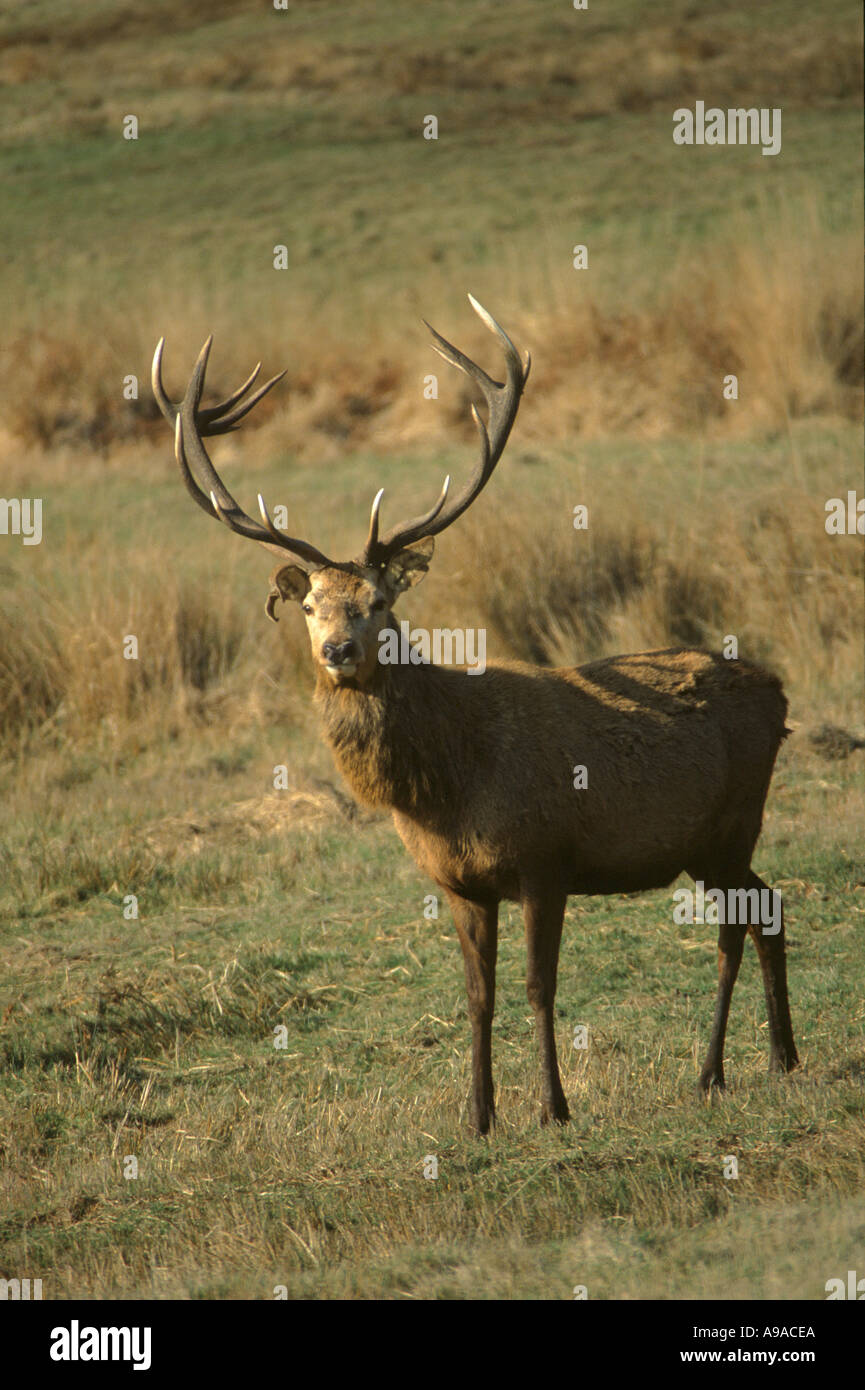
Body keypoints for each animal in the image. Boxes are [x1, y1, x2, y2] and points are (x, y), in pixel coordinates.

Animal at [151, 296, 799, 1134]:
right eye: (309, 603)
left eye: (377, 600)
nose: (336, 650)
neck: (446, 787)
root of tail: (778, 692)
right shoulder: (459, 884)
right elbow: (476, 998)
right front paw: (477, 1114)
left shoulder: (545, 859)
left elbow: (537, 988)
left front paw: (553, 1107)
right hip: (712, 841)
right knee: (768, 905)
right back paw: (783, 1058)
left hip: (729, 823)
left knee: (733, 928)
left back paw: (712, 1073)